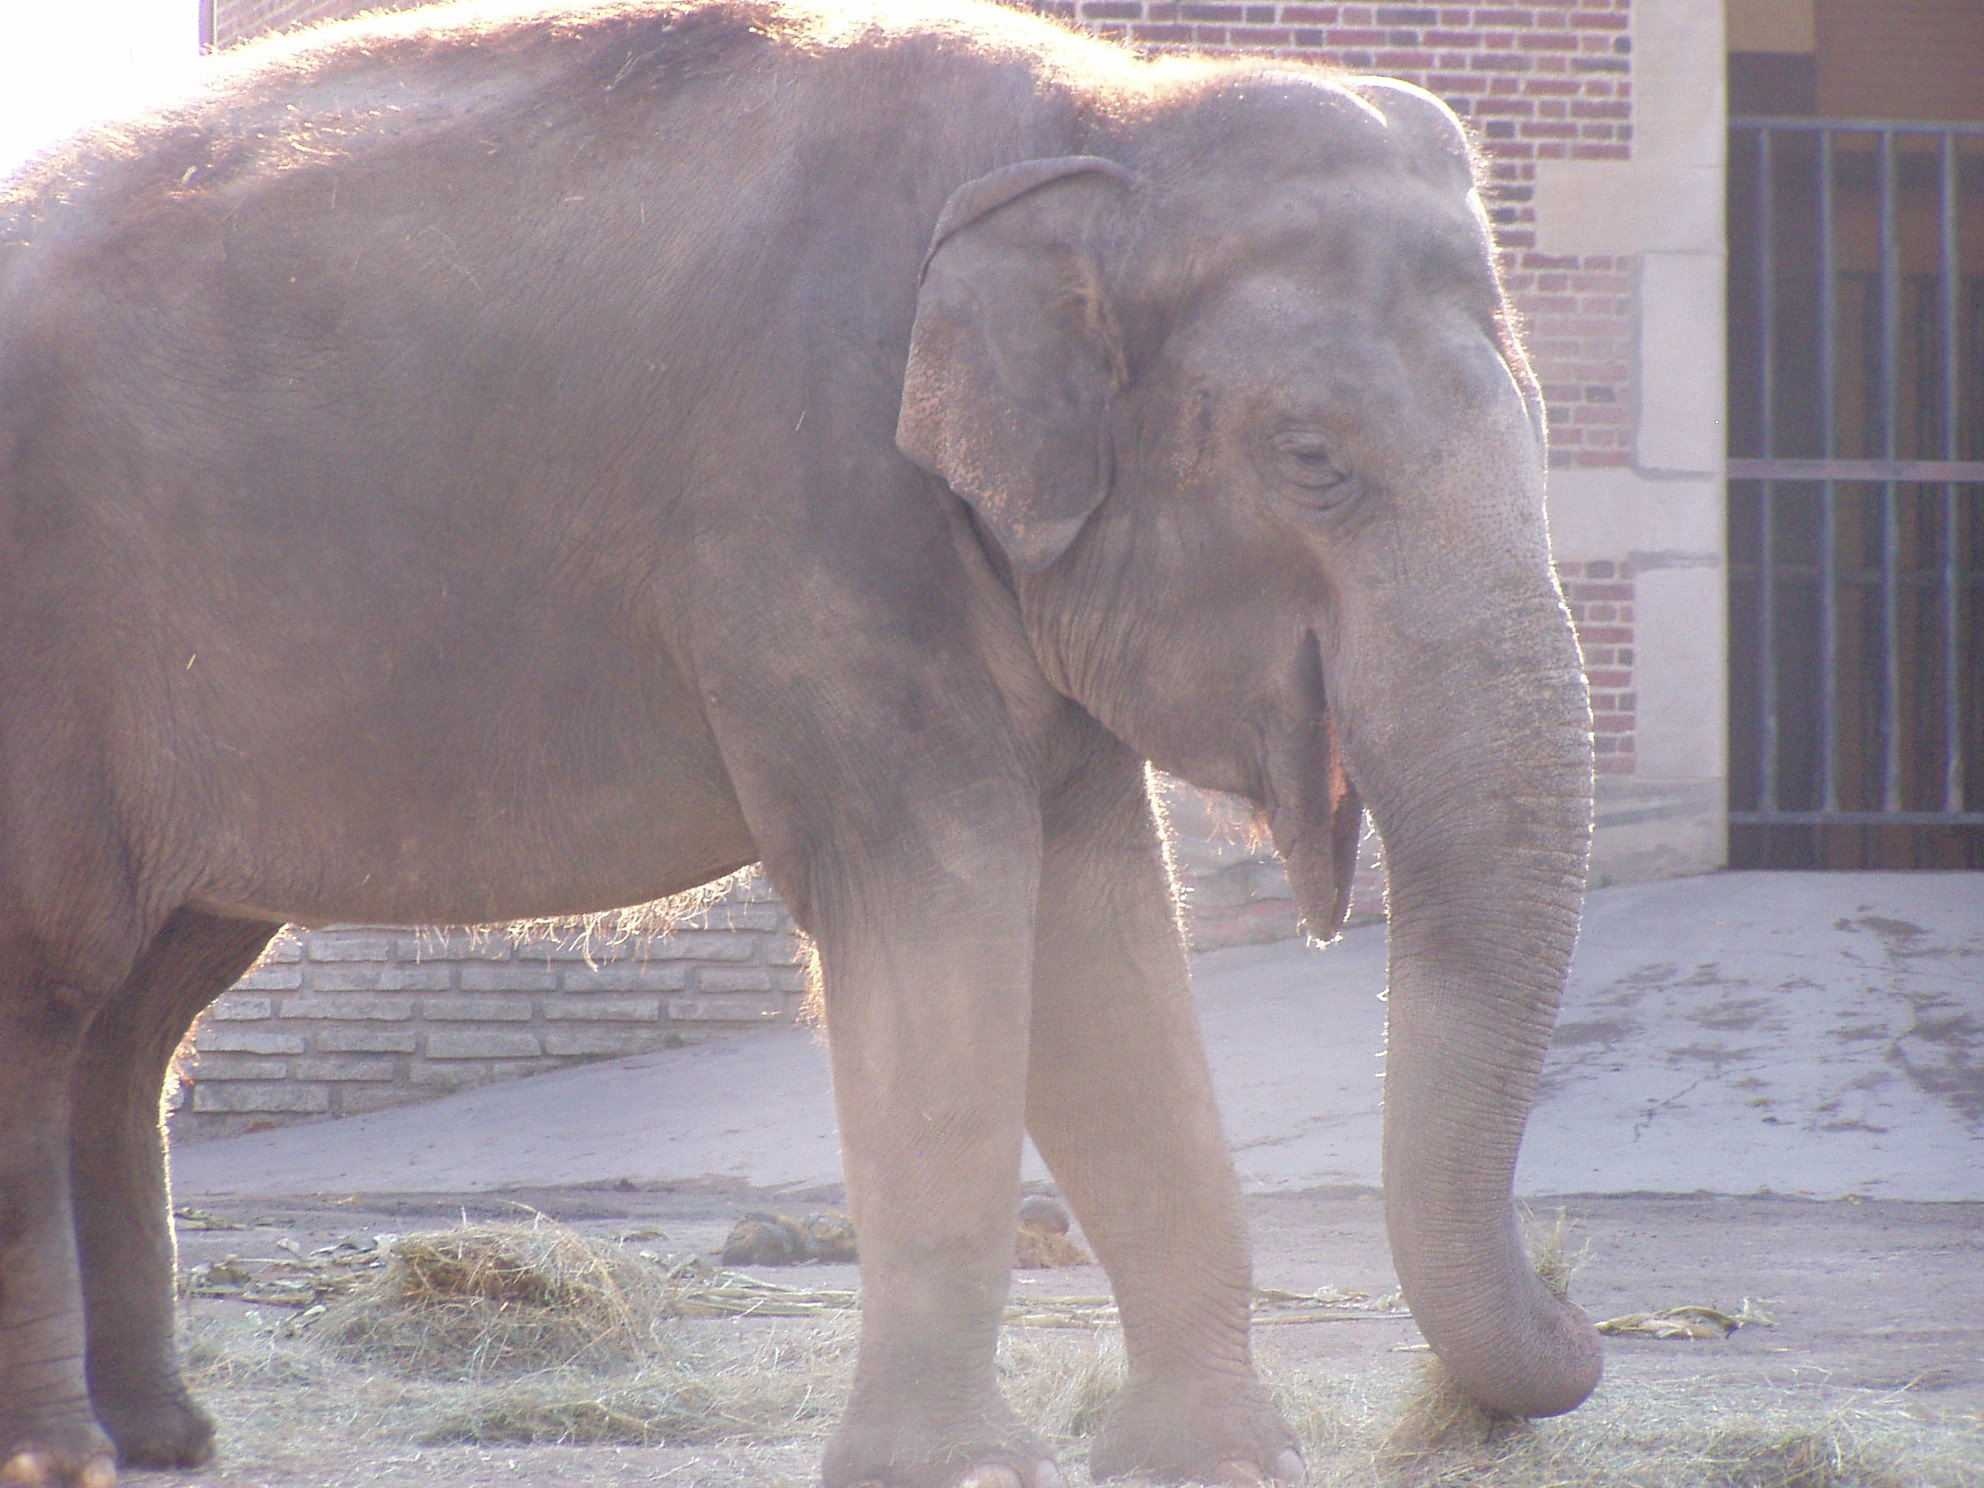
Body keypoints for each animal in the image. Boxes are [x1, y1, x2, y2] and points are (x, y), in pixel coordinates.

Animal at [0, 1, 1602, 1484]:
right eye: (1311, 460)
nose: (1569, 1325)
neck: (1103, 115)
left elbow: (1101, 926)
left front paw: (1221, 1459)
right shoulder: (808, 501)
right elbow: (944, 897)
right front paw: (956, 1469)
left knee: (138, 1011)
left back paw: (164, 1439)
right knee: (53, 983)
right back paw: (63, 1453)